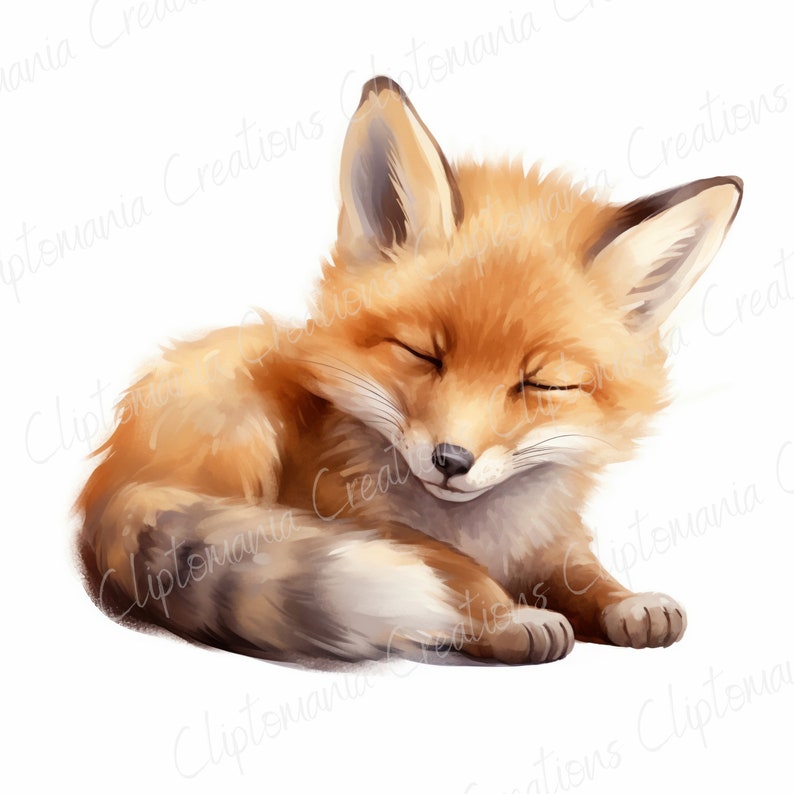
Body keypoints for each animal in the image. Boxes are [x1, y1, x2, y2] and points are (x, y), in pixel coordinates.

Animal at [77, 77, 742, 666]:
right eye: (424, 354)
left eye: (542, 384)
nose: (451, 460)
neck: (482, 528)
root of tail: (110, 482)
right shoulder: (347, 514)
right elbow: (453, 569)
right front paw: (506, 616)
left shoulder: (551, 537)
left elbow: (587, 574)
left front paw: (630, 603)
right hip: (242, 430)